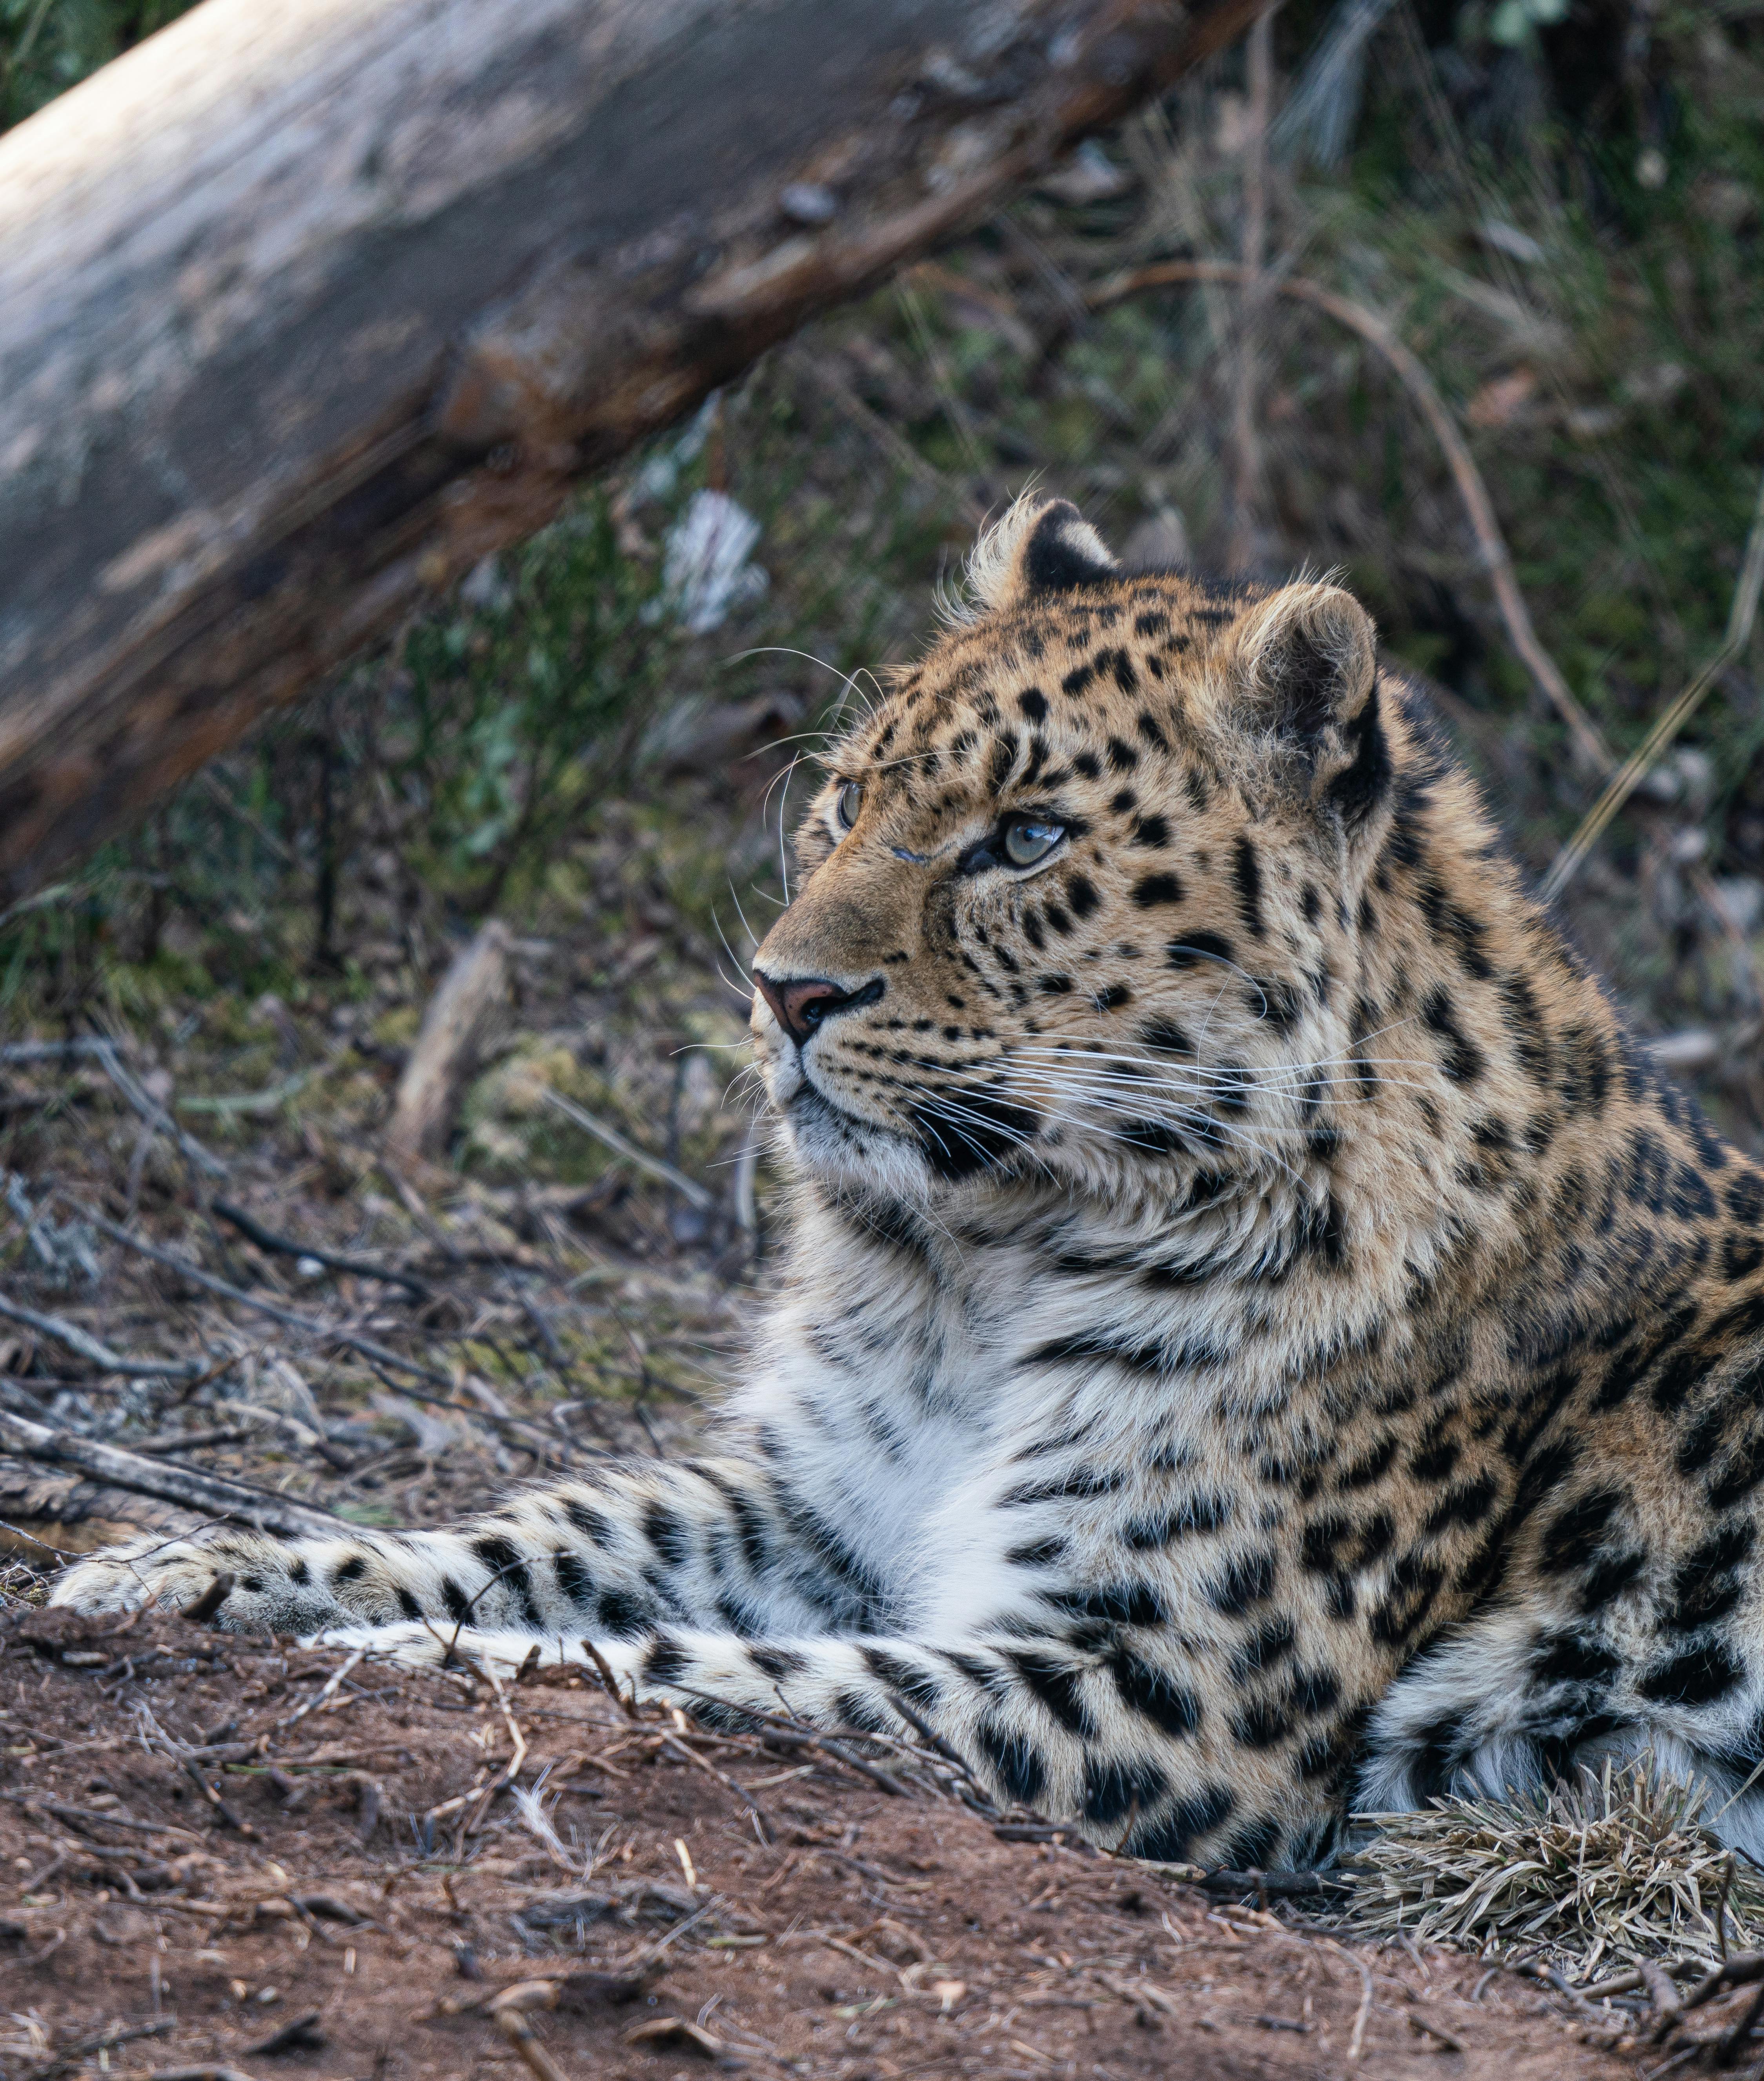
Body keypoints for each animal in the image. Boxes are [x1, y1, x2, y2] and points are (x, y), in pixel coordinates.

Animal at [52, 493, 1764, 1871]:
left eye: (1025, 840)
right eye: (843, 802)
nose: (780, 991)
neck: (992, 1268)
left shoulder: (1158, 1701)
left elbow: (704, 1668)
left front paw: (390, 1651)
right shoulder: (816, 1502)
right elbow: (536, 1538)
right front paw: (193, 1566)